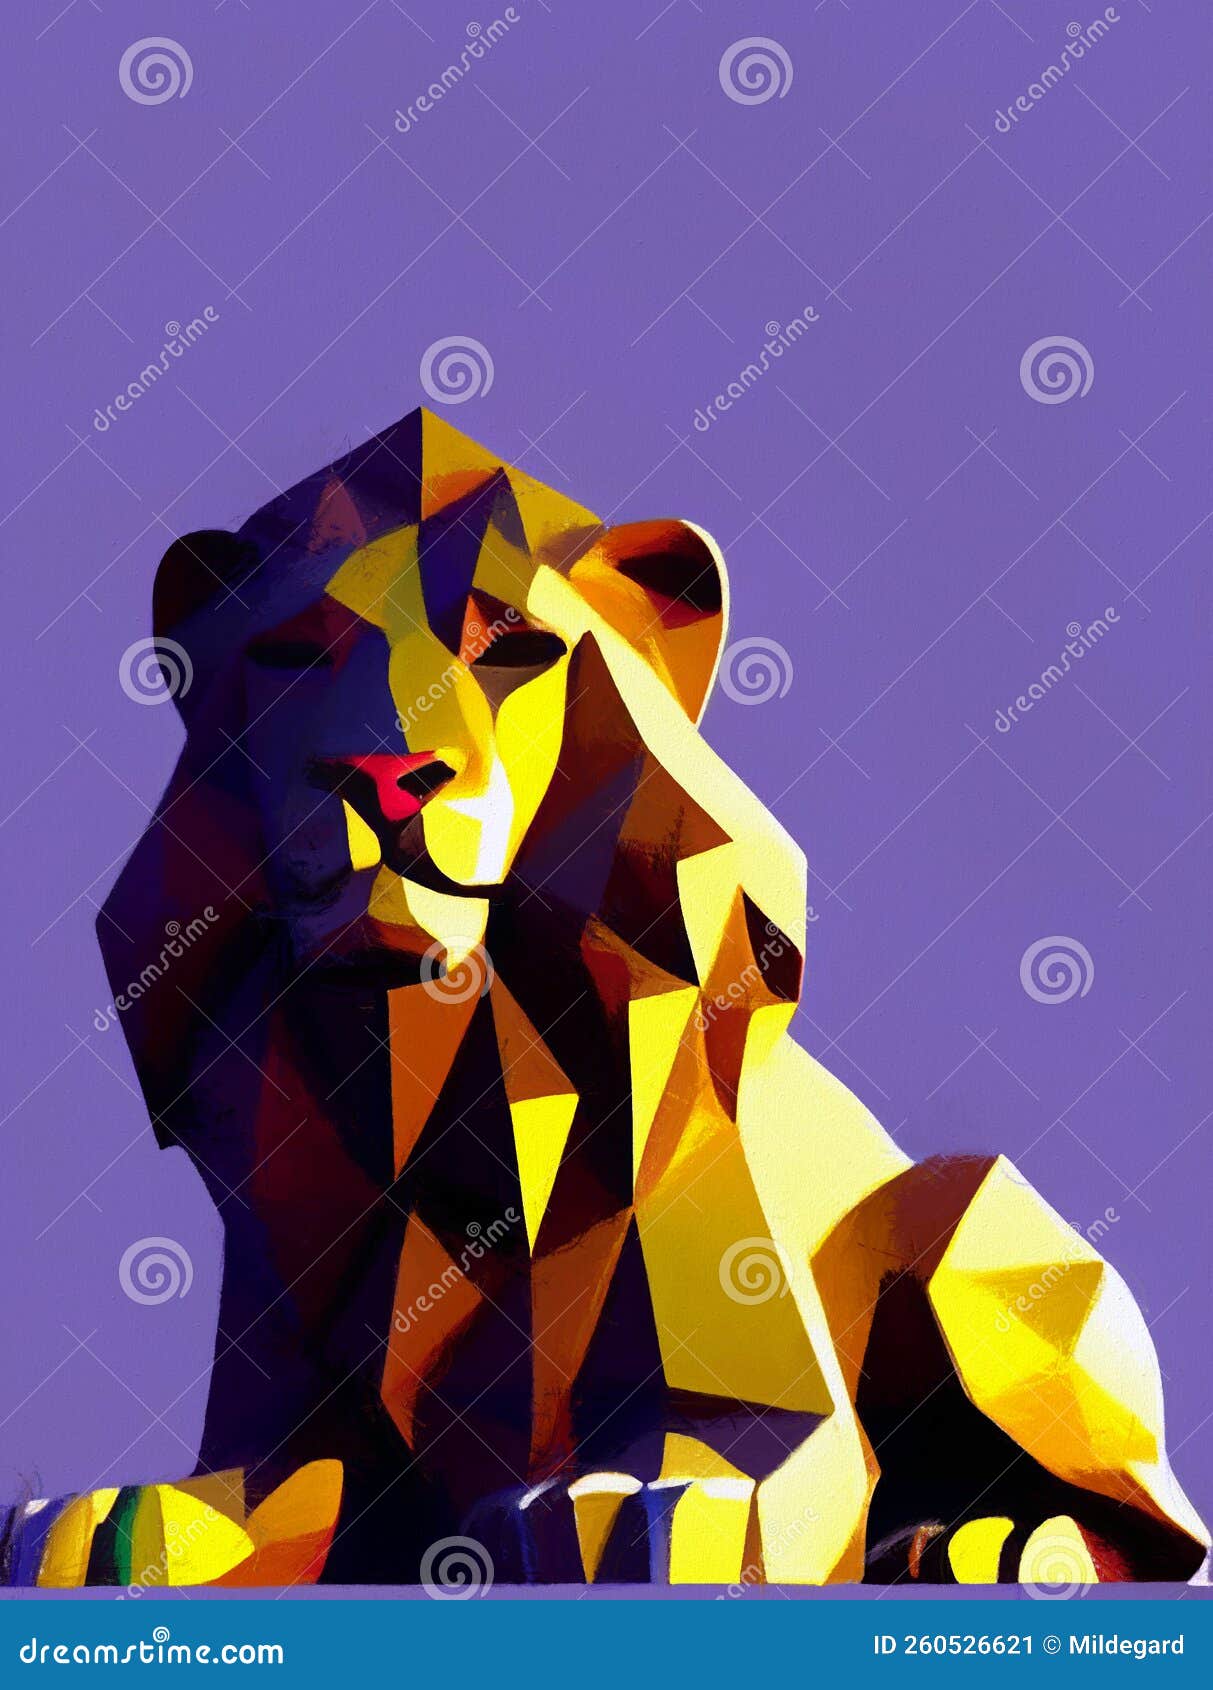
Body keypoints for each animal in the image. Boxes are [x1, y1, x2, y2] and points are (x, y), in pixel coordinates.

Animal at [4, 408, 1205, 1590]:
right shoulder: (294, 1389)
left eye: (512, 649)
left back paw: (983, 1542)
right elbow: (246, 1493)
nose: (383, 776)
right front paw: (102, 1524)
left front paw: (622, 1505)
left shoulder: (775, 1392)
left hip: (972, 1230)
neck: (449, 1075)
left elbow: (730, 1455)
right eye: (292, 656)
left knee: (1151, 1527)